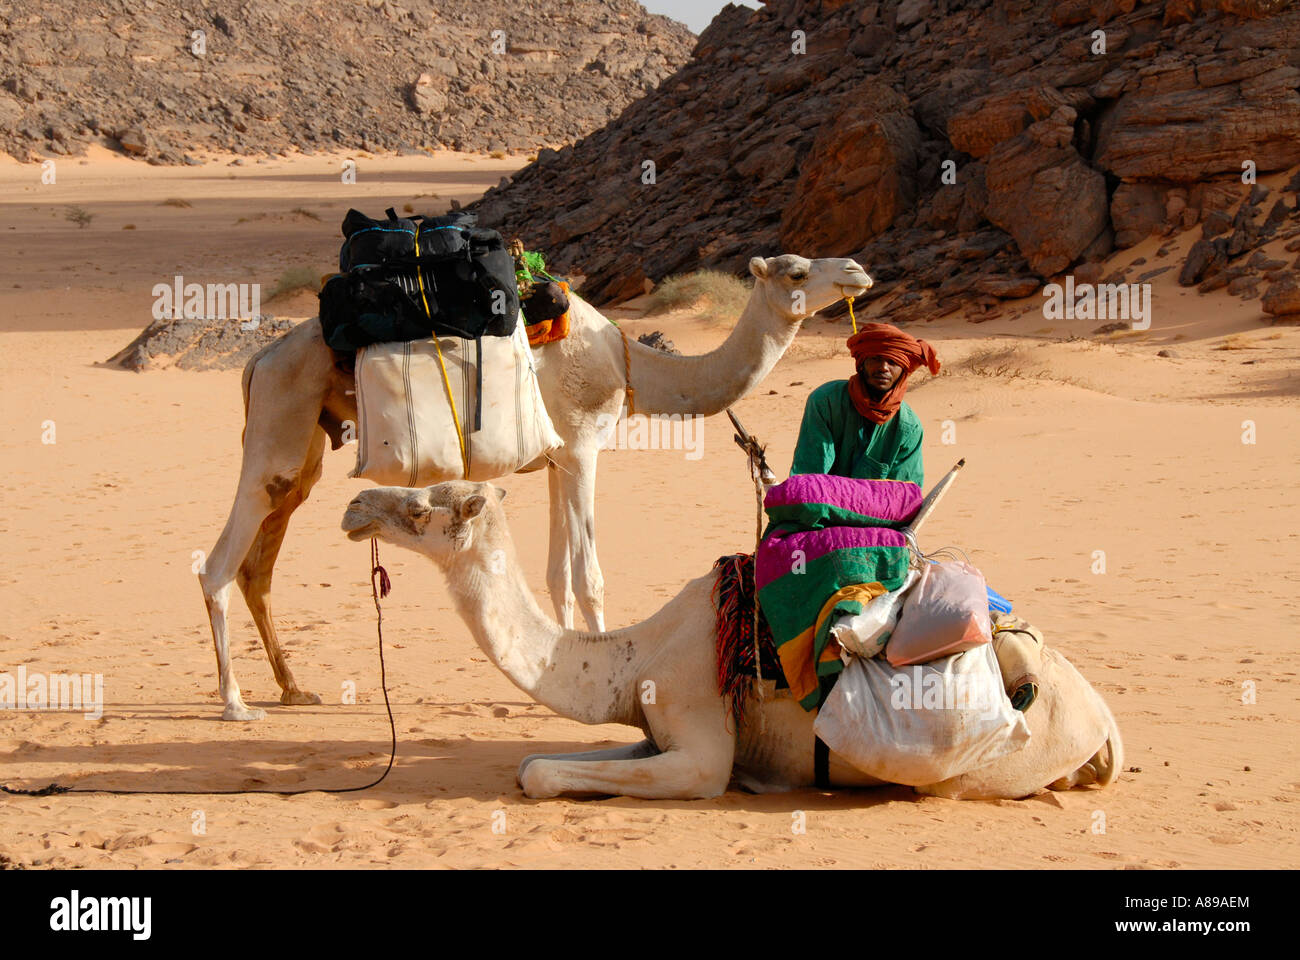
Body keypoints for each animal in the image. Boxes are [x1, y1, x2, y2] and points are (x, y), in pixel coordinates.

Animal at [201, 254, 872, 721]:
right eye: (797, 270)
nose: (857, 272)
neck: (632, 369)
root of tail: (257, 361)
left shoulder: (555, 461)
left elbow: (557, 575)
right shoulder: (581, 448)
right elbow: (589, 575)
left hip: (302, 444)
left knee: (260, 563)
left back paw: (294, 689)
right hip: (277, 423)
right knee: (219, 564)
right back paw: (236, 703)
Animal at [340, 481, 1124, 800]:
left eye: (420, 507)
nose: (354, 507)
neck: (634, 658)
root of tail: (1104, 721)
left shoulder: (698, 743)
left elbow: (539, 775)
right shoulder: (653, 732)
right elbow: (537, 758)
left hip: (987, 763)